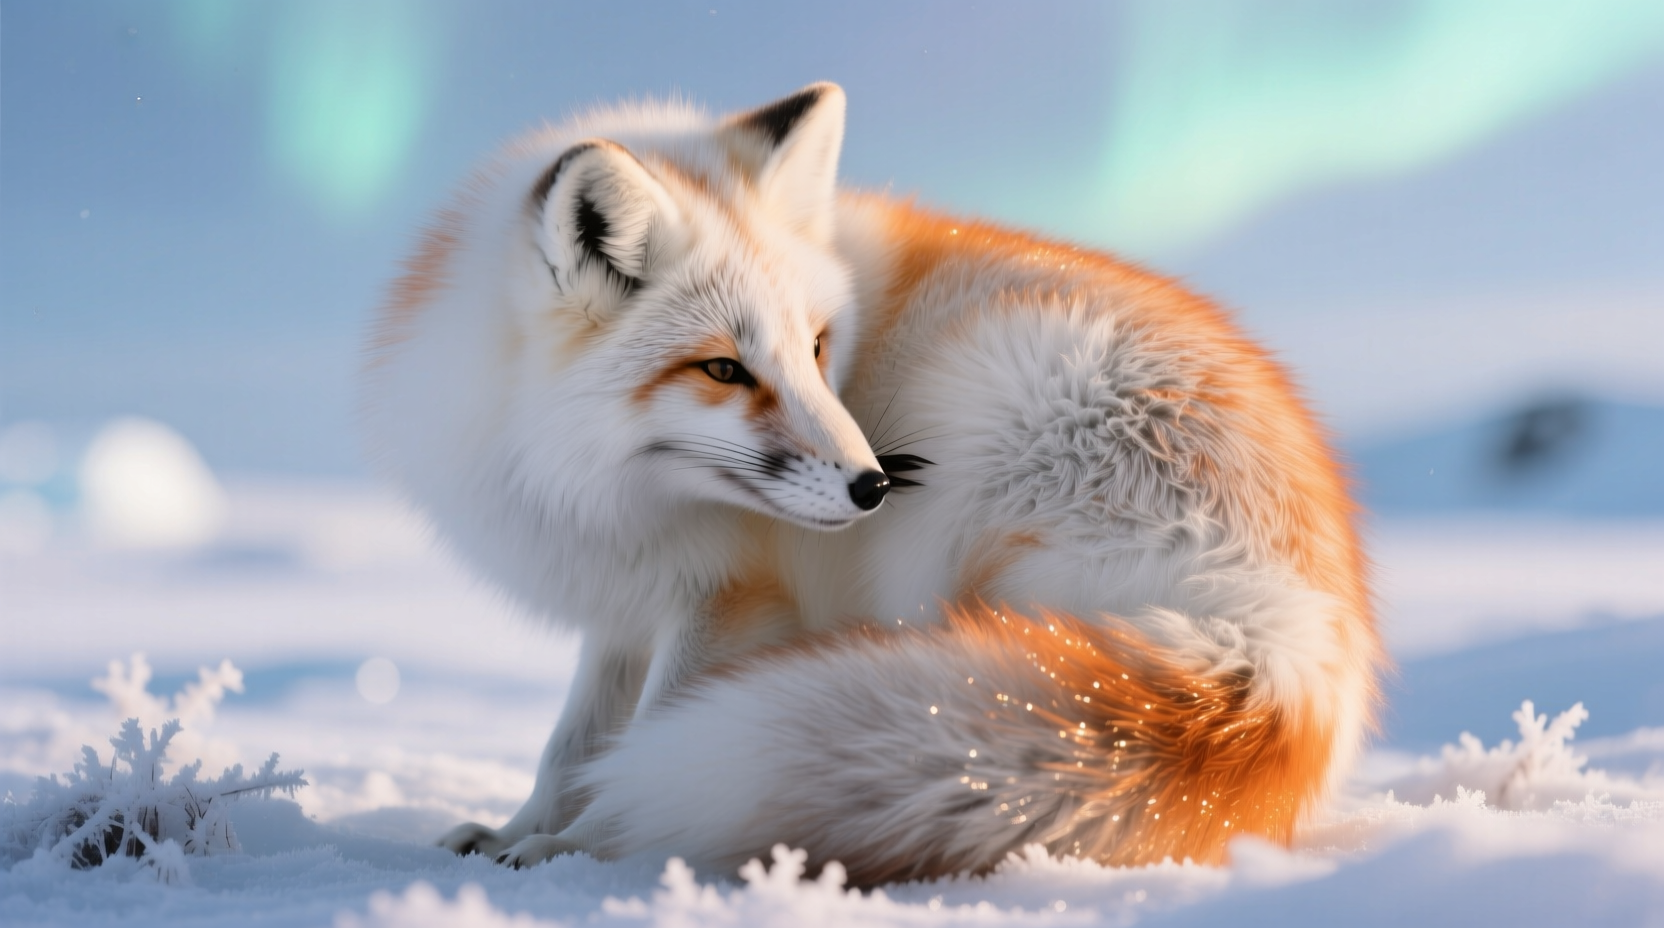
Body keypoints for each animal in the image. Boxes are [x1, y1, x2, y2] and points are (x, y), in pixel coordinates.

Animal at [362, 83, 1384, 884]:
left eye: (817, 348)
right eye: (723, 369)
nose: (872, 487)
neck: (579, 476)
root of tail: (1287, 633)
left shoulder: (729, 598)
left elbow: (645, 743)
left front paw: (579, 849)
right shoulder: (622, 602)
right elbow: (571, 745)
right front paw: (519, 830)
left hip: (964, 462)